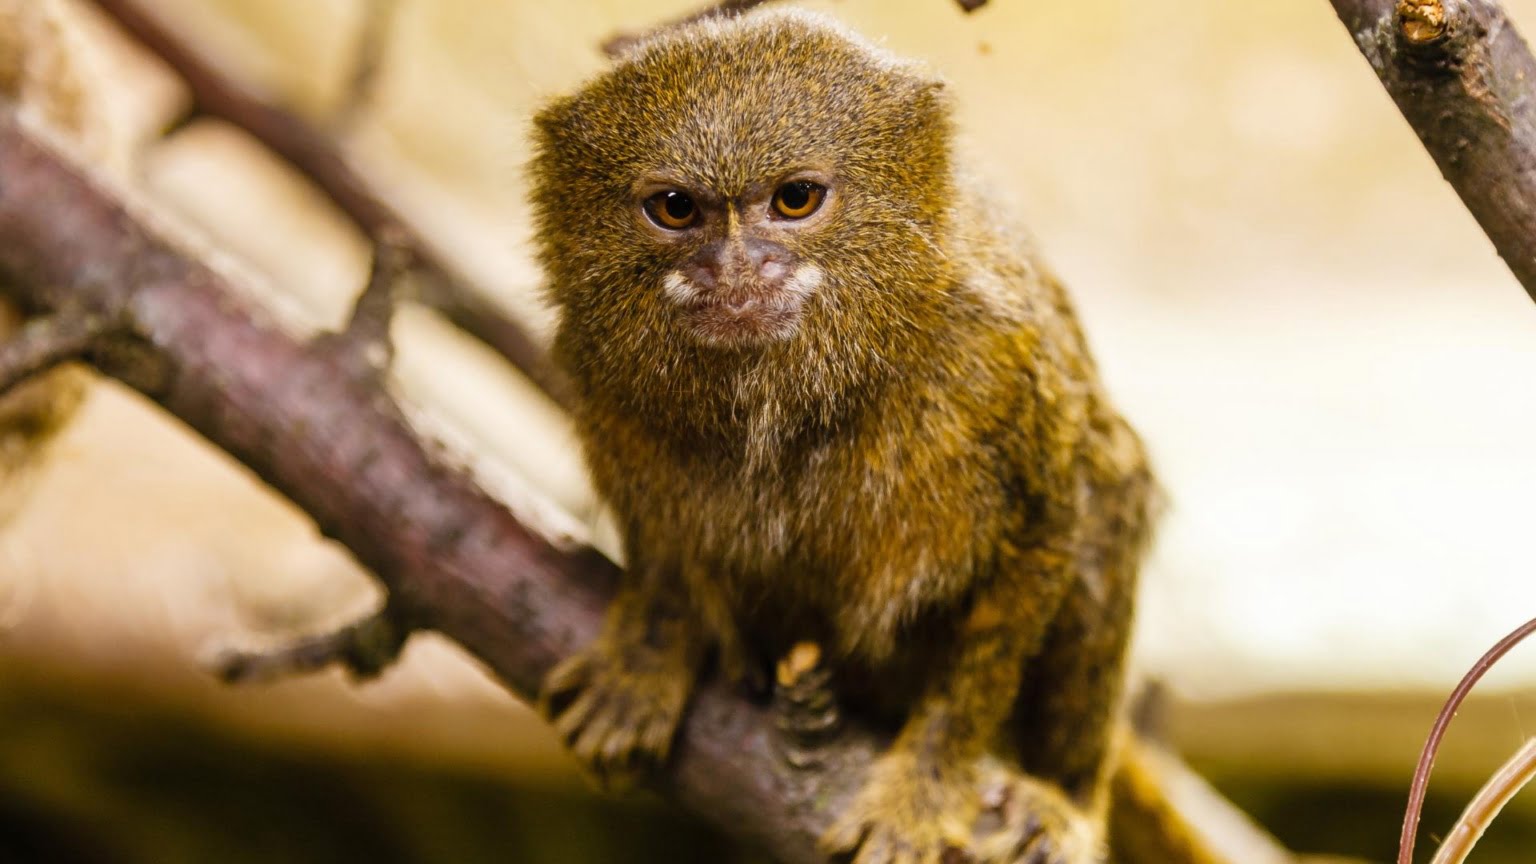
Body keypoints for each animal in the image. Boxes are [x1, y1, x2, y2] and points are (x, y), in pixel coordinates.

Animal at [530, 9, 1156, 864]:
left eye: (795, 199)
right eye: (676, 208)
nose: (737, 269)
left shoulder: (1000, 362)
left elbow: (1041, 553)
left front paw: (921, 792)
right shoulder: (600, 372)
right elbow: (662, 547)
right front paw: (645, 658)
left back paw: (1062, 803)